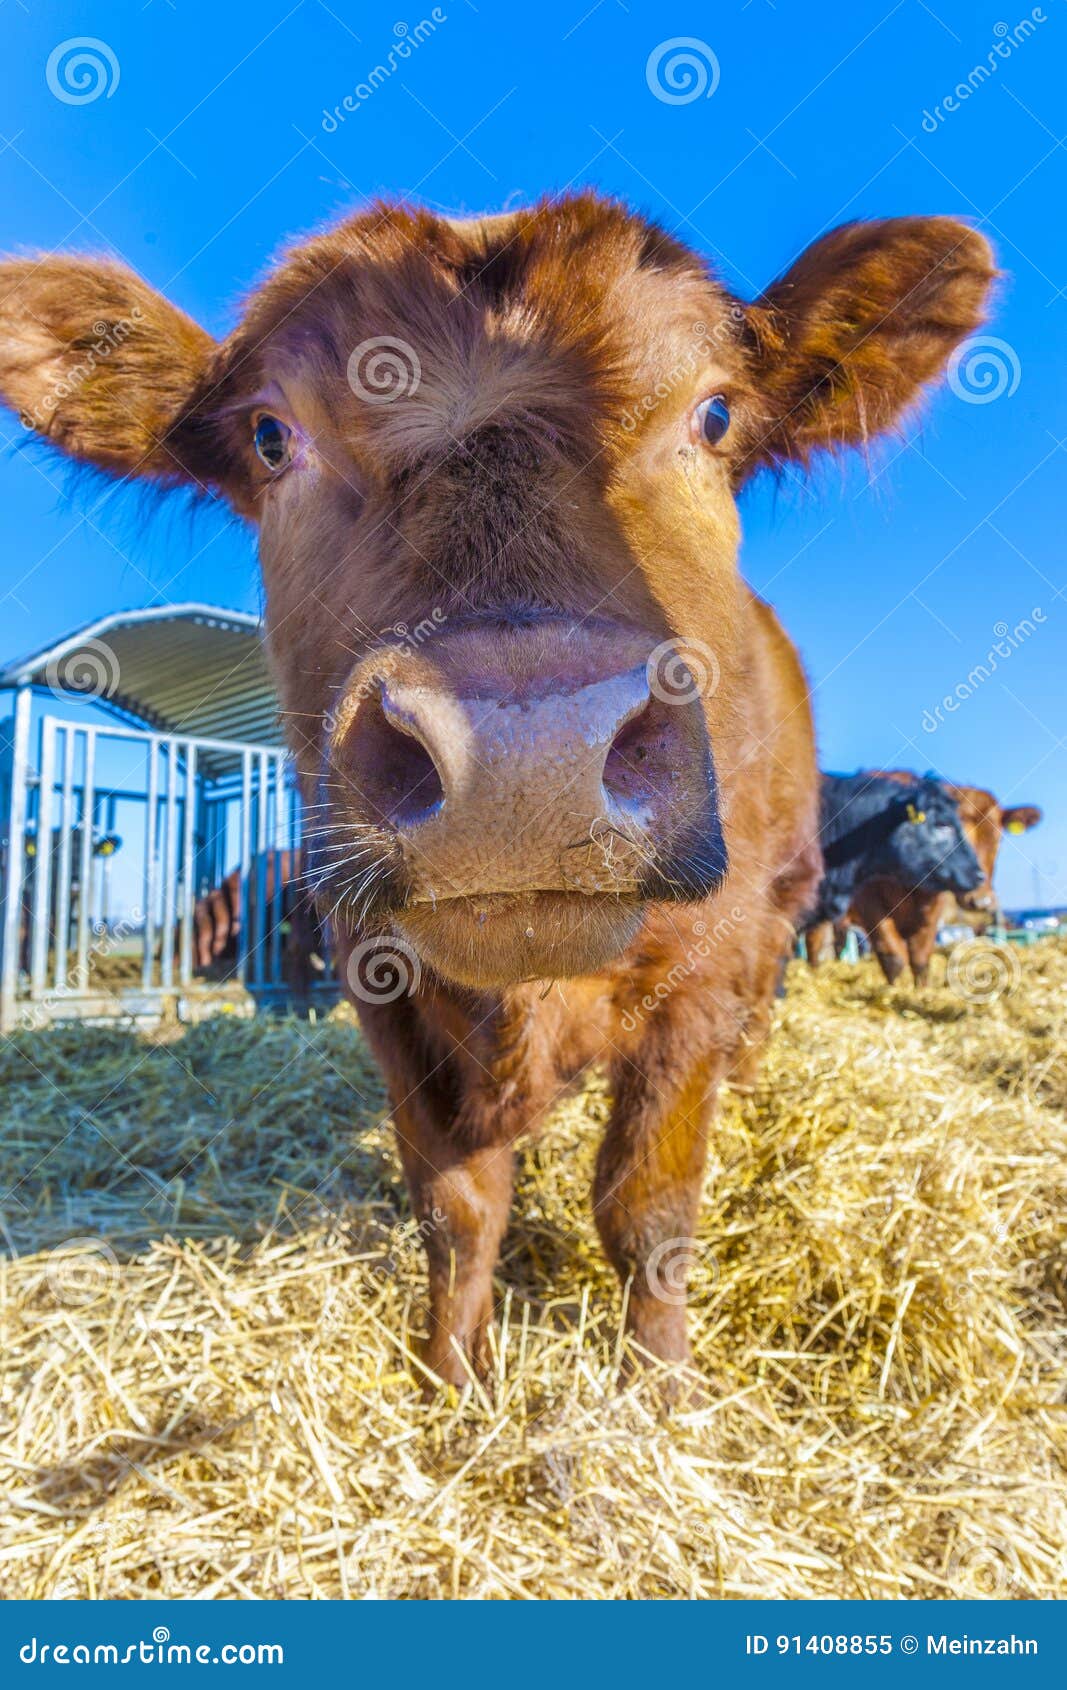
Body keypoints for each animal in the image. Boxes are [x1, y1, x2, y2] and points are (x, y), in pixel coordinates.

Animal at [846, 772, 1041, 984]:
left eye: (997, 839)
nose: (981, 900)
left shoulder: (933, 904)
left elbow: (920, 958)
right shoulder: (868, 899)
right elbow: (893, 957)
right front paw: (895, 989)